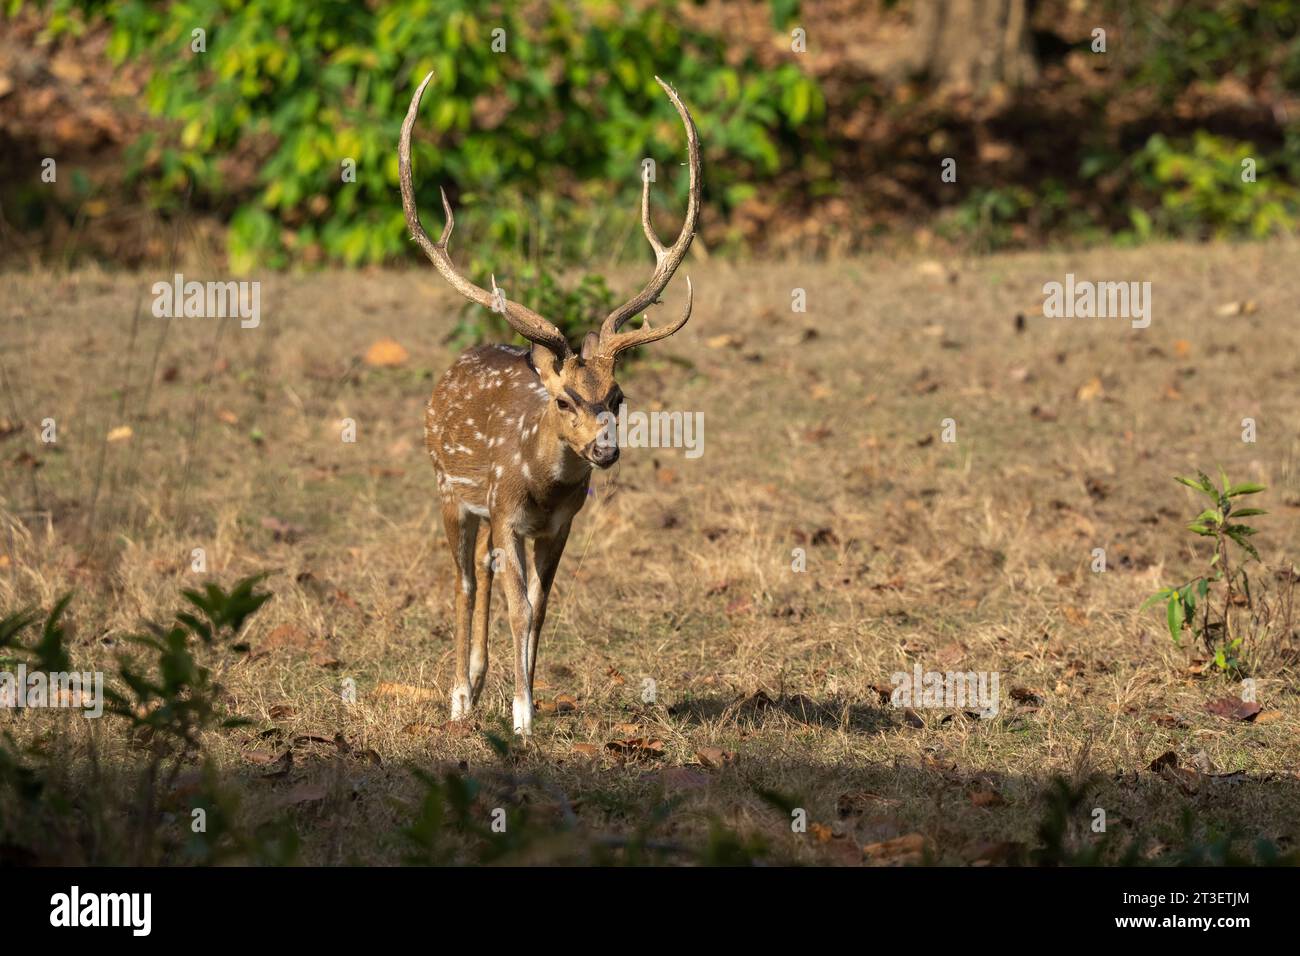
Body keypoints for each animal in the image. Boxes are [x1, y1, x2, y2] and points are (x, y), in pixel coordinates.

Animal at [399, 71, 701, 735]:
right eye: (563, 400)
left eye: (617, 394)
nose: (605, 451)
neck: (538, 486)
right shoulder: (506, 513)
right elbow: (517, 608)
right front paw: (522, 717)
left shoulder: (558, 526)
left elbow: (539, 608)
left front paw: (527, 698)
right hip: (448, 491)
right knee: (464, 580)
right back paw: (459, 698)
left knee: (484, 573)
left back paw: (477, 683)